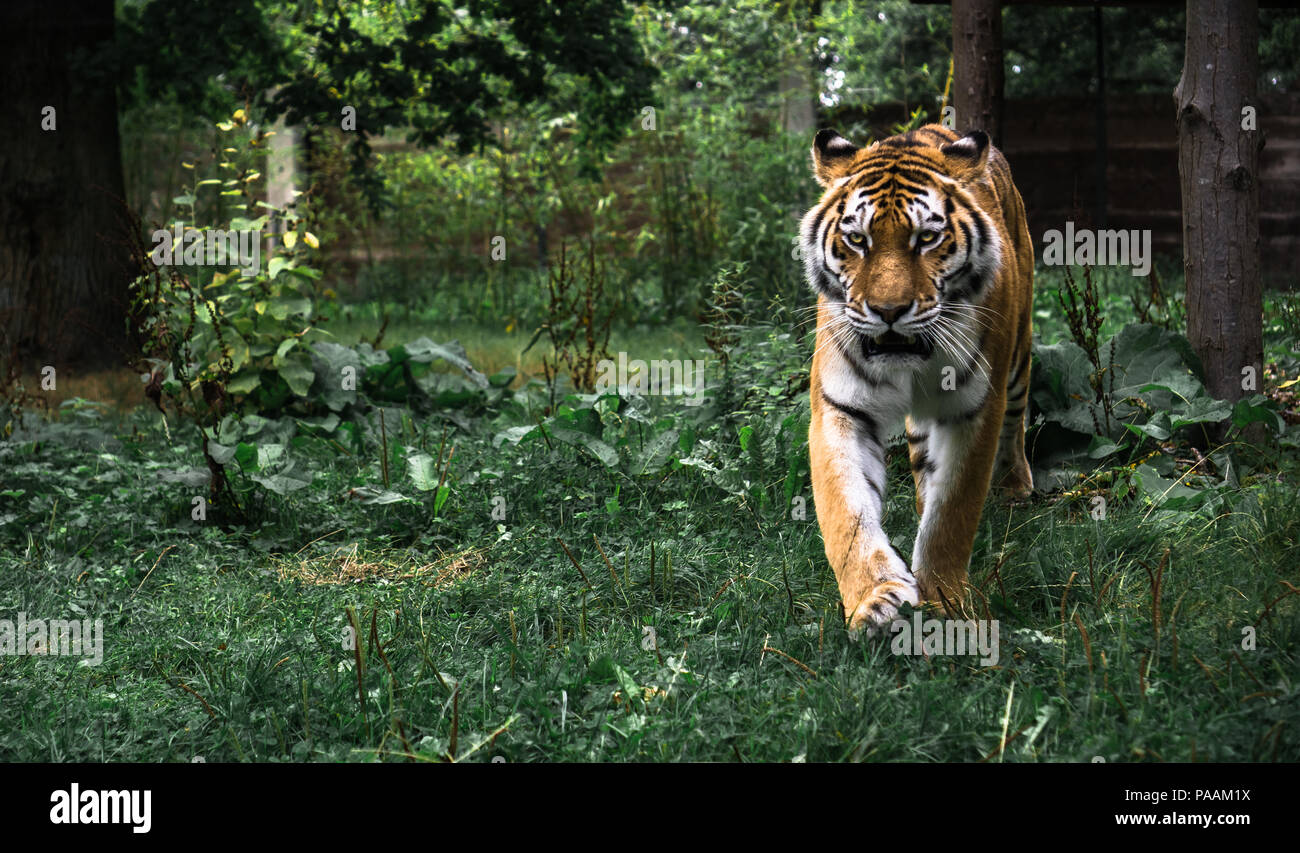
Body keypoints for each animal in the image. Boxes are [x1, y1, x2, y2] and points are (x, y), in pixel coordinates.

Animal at [800, 123, 1034, 638]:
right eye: (857, 239)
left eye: (927, 238)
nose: (888, 311)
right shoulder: (840, 408)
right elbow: (847, 513)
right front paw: (876, 599)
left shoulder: (974, 409)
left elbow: (954, 511)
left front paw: (945, 600)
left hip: (1018, 356)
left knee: (1015, 425)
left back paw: (1015, 486)